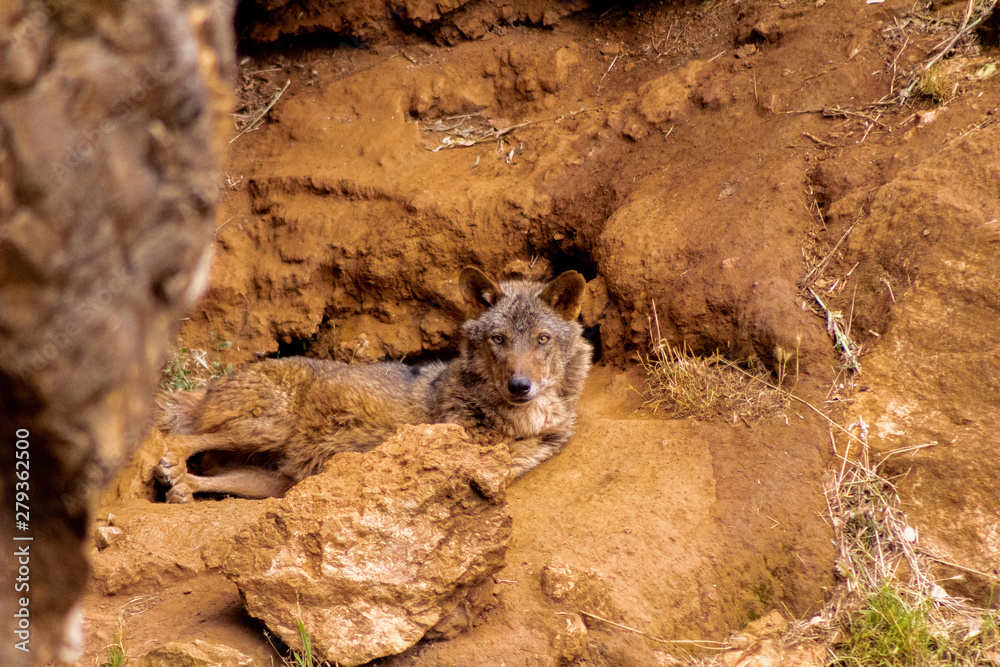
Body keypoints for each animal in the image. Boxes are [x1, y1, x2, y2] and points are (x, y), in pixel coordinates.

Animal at [154, 267, 592, 502]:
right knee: (178, 440)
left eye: (542, 339)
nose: (520, 385)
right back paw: (172, 468)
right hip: (266, 428)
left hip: (274, 482)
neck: (518, 422)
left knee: (205, 477)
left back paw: (180, 487)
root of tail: (213, 383)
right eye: (498, 339)